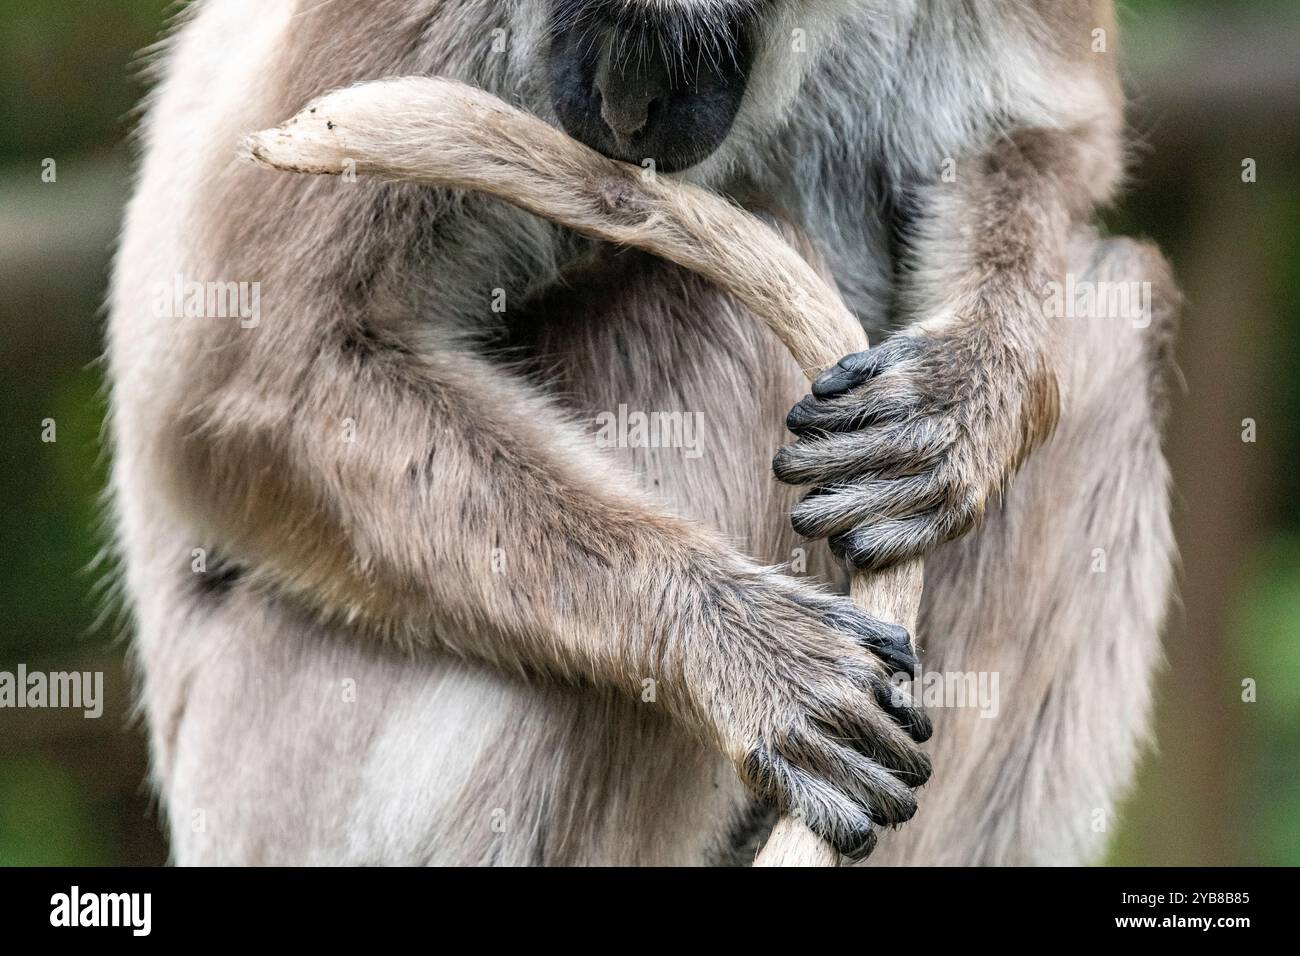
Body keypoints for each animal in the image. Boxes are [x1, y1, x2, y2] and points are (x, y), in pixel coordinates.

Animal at [108, 0, 1177, 865]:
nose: (629, 110)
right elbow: (237, 392)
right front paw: (742, 653)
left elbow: (1043, 135)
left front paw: (967, 406)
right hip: (297, 761)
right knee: (712, 309)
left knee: (1112, 308)